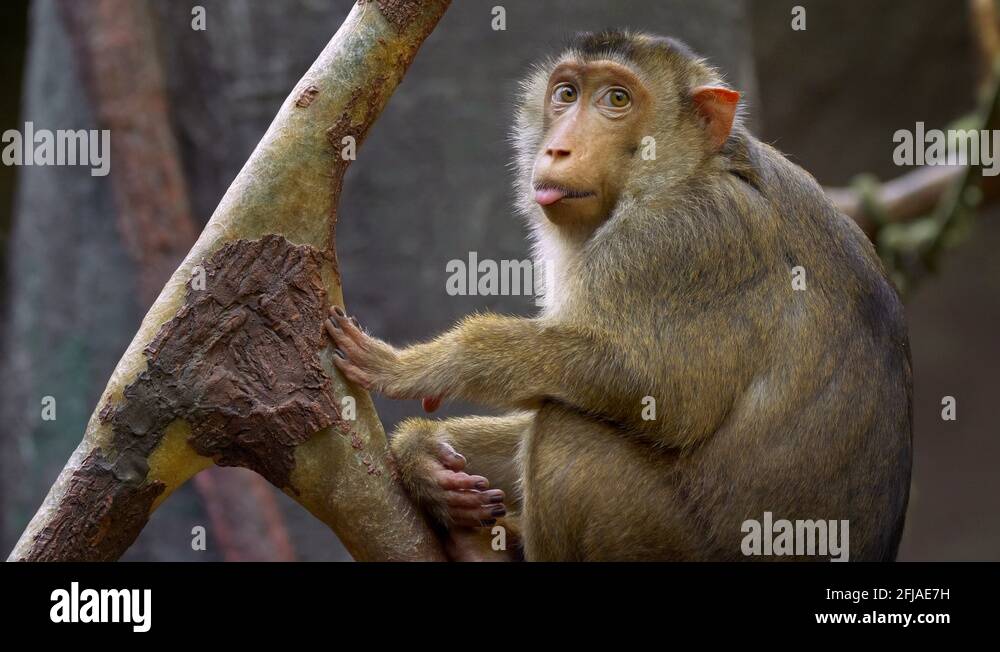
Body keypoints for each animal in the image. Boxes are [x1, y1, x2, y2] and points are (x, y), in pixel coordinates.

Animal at [325, 30, 912, 561]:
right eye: (566, 93)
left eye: (617, 100)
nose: (557, 147)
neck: (688, 169)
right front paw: (424, 457)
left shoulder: (680, 239)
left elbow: (659, 390)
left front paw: (431, 364)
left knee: (568, 434)